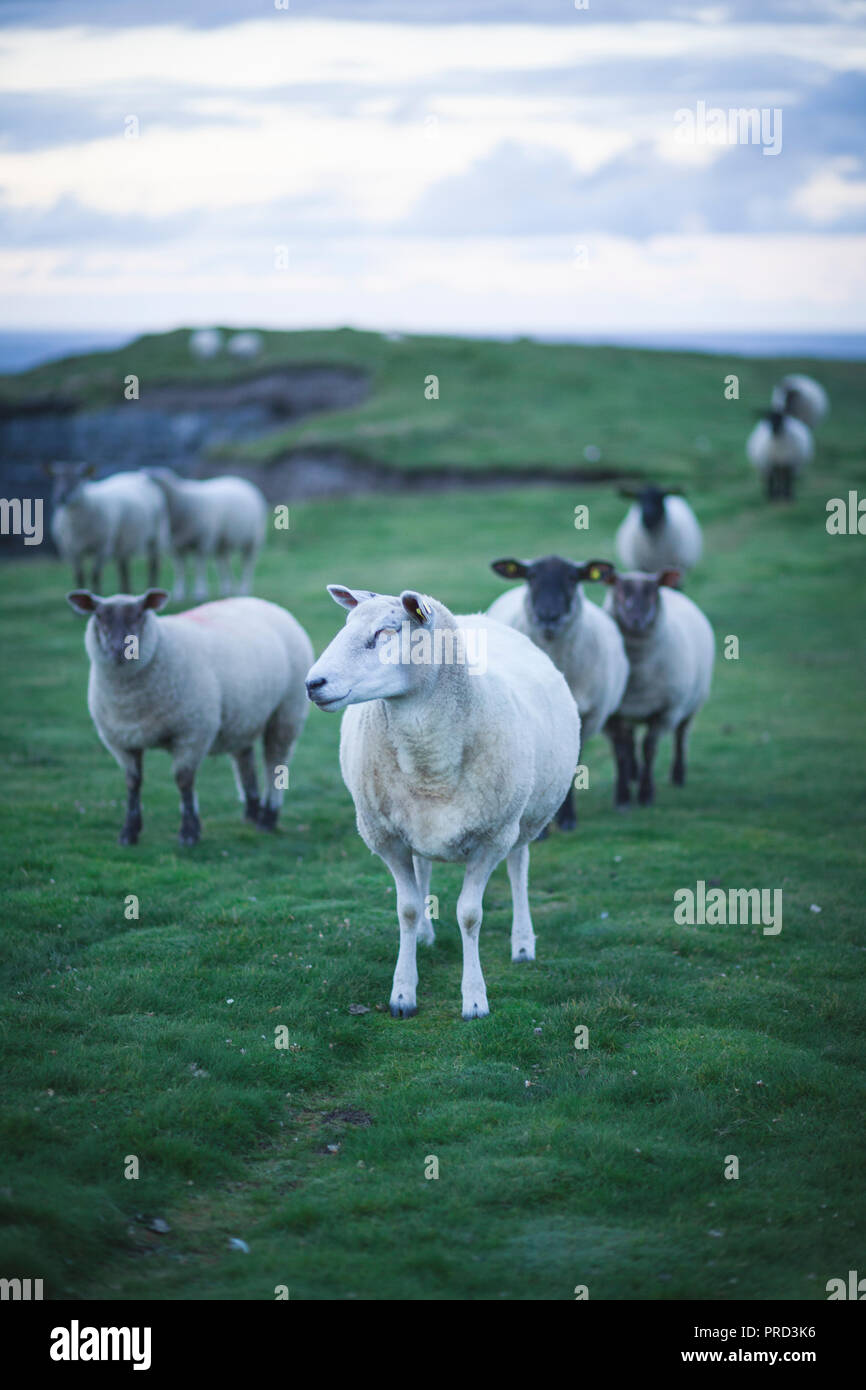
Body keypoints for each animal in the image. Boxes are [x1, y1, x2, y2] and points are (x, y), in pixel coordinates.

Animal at [66, 589, 313, 845]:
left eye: (140, 613)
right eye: (98, 615)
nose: (118, 649)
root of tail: (262, 602)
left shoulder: (192, 731)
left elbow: (183, 780)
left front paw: (189, 831)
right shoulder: (121, 740)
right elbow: (133, 783)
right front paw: (129, 831)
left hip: (286, 712)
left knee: (275, 762)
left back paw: (268, 818)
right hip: (243, 715)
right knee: (245, 759)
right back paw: (252, 812)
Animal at [144, 468, 267, 600]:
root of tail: (243, 481)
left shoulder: (202, 543)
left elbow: (199, 567)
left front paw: (200, 592)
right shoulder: (175, 547)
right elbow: (180, 569)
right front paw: (179, 593)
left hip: (252, 541)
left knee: (247, 564)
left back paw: (243, 589)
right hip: (222, 543)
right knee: (224, 564)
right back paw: (226, 589)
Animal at [305, 584, 581, 1019]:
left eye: (386, 632)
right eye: (346, 624)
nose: (313, 683)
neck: (428, 764)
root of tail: (479, 617)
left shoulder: (491, 838)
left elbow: (470, 915)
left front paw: (474, 999)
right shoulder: (386, 837)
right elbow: (407, 908)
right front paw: (403, 993)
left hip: (523, 820)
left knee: (518, 868)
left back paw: (522, 943)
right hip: (417, 825)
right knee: (424, 869)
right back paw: (424, 935)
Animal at [488, 555, 628, 830]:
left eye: (573, 578)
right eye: (531, 577)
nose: (548, 616)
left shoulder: (582, 717)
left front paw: (567, 818)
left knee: (620, 743)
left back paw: (624, 798)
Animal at [600, 567, 714, 807]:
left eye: (652, 592)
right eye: (619, 589)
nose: (637, 619)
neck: (636, 675)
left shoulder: (665, 712)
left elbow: (649, 749)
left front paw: (646, 793)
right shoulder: (613, 714)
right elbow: (621, 750)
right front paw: (622, 795)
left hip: (691, 703)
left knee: (681, 736)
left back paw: (678, 775)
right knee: (630, 739)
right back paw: (633, 772)